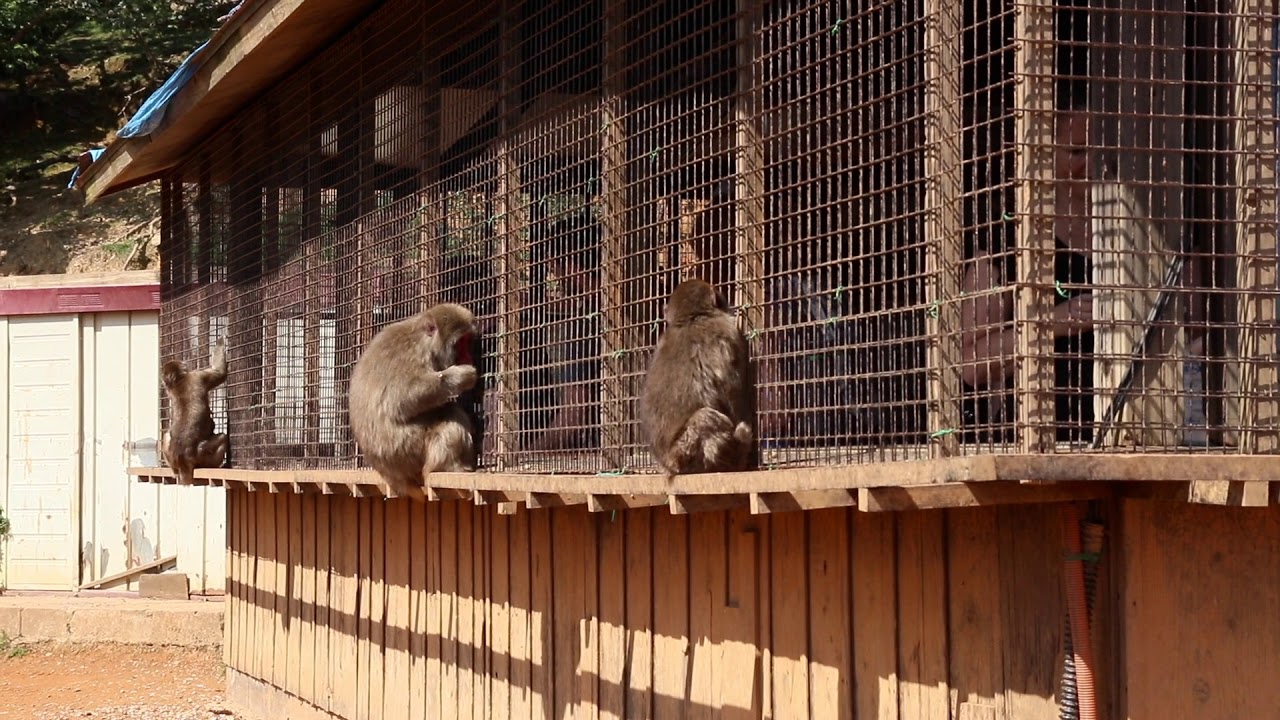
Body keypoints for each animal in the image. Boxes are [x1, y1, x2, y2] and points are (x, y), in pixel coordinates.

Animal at [161, 337, 230, 484]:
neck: (178, 381)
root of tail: (183, 460)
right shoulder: (198, 376)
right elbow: (220, 373)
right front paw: (221, 339)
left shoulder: (170, 388)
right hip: (201, 455)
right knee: (222, 437)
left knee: (166, 435)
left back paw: (174, 471)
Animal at [348, 303, 480, 500]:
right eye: (461, 343)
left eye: (468, 341)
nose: (469, 357)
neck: (424, 342)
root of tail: (391, 475)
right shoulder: (410, 356)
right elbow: (400, 400)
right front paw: (458, 377)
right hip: (405, 450)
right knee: (450, 413)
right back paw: (445, 466)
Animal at [641, 278, 756, 478]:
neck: (690, 318)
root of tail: (668, 464)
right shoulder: (727, 332)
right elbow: (733, 393)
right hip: (685, 455)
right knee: (706, 418)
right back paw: (737, 457)